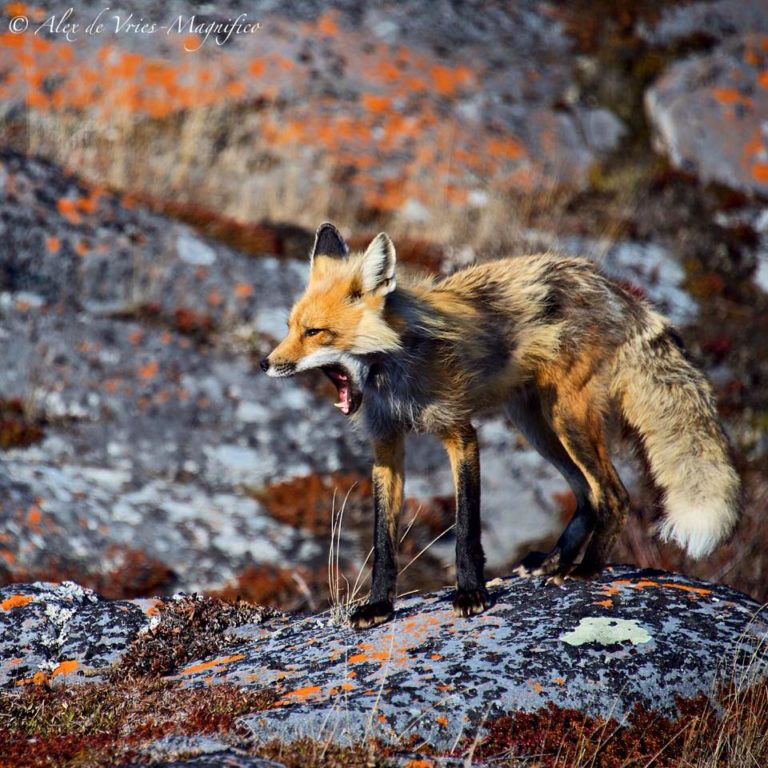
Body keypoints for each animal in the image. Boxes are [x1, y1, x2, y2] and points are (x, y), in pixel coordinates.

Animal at [261, 222, 741, 629]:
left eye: (314, 332)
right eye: (289, 327)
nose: (266, 363)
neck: (394, 377)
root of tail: (609, 284)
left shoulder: (460, 433)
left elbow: (466, 527)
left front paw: (471, 593)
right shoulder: (386, 445)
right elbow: (383, 540)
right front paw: (379, 604)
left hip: (567, 420)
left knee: (614, 496)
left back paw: (584, 571)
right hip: (535, 426)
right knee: (587, 494)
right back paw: (554, 561)